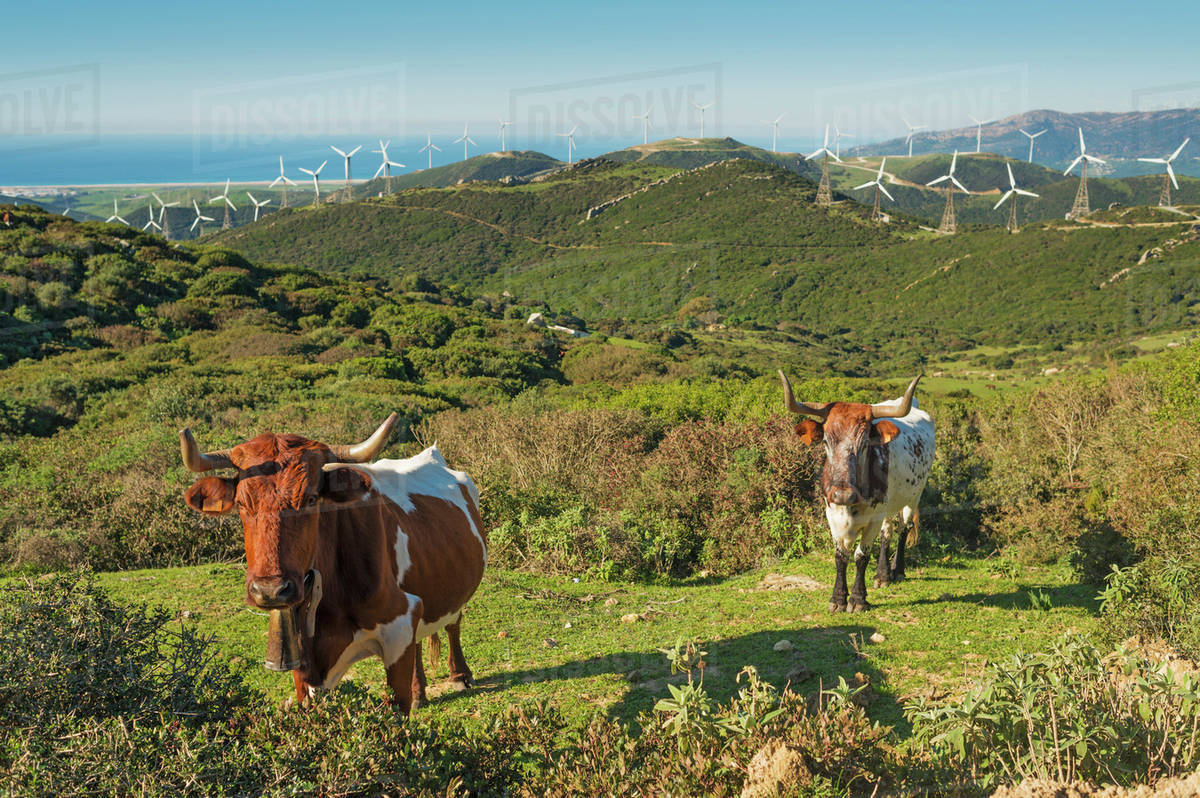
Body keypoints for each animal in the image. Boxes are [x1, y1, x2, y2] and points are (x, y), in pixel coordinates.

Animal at [179, 413, 485, 712]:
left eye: (311, 499)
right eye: (242, 504)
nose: (270, 591)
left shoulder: (398, 625)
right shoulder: (303, 662)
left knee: (454, 621)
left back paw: (460, 675)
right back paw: (419, 690)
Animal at [778, 372, 935, 613]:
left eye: (865, 444)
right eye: (826, 441)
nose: (842, 495)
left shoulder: (873, 517)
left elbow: (861, 556)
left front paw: (858, 599)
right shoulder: (832, 514)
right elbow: (840, 556)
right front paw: (838, 599)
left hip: (914, 496)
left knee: (903, 529)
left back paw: (897, 571)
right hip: (888, 504)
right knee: (887, 532)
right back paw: (882, 575)